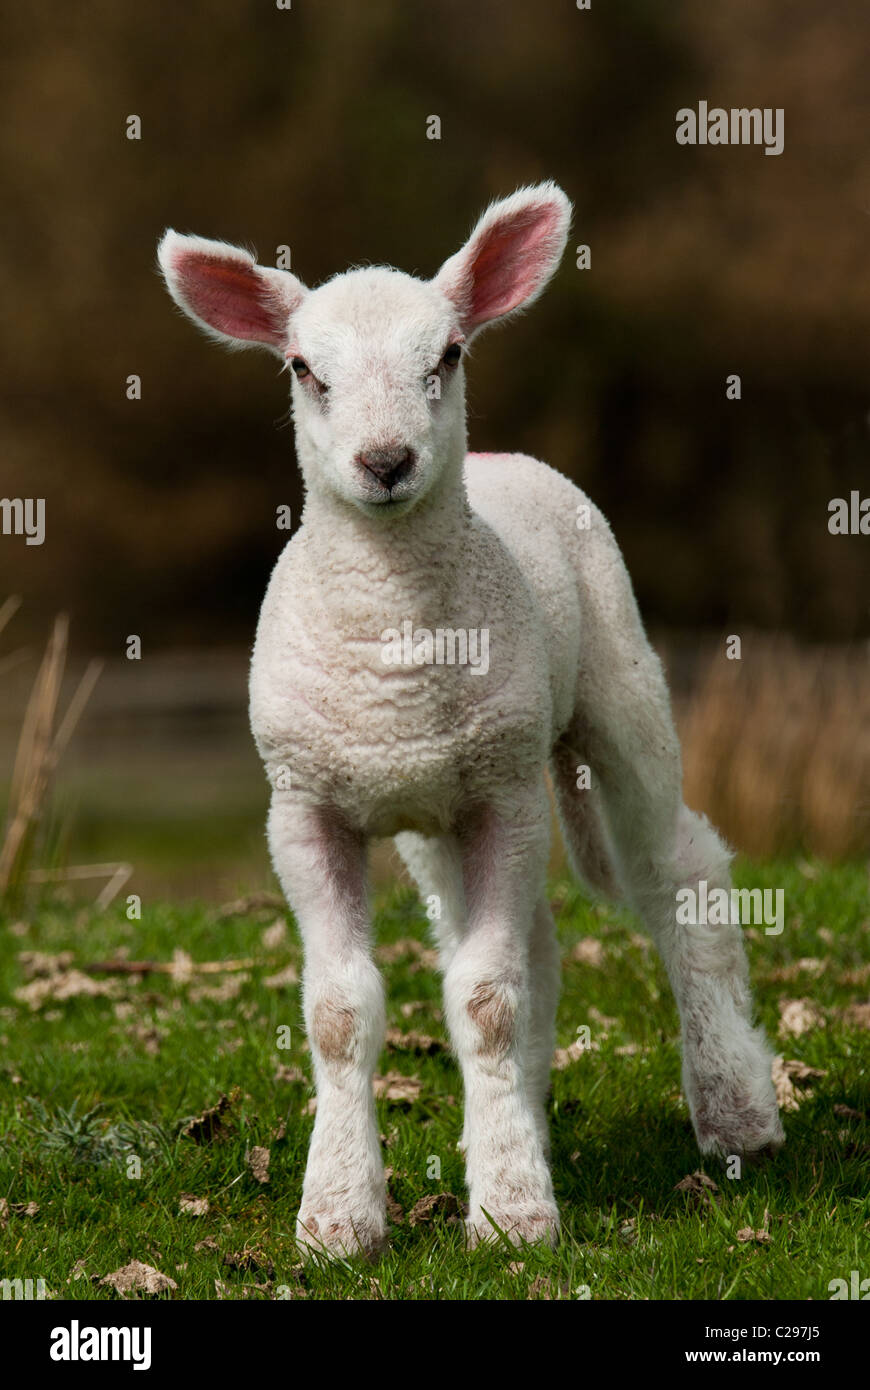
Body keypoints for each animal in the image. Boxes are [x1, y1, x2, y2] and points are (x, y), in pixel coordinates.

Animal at [158, 183, 783, 1259]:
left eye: (447, 355)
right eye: (303, 368)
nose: (386, 460)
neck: (395, 649)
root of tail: (497, 456)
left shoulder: (502, 792)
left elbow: (485, 1003)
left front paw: (514, 1218)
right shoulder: (307, 803)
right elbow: (344, 1009)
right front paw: (340, 1217)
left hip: (616, 687)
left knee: (679, 871)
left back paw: (734, 1108)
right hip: (449, 806)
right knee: (522, 940)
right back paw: (517, 1123)